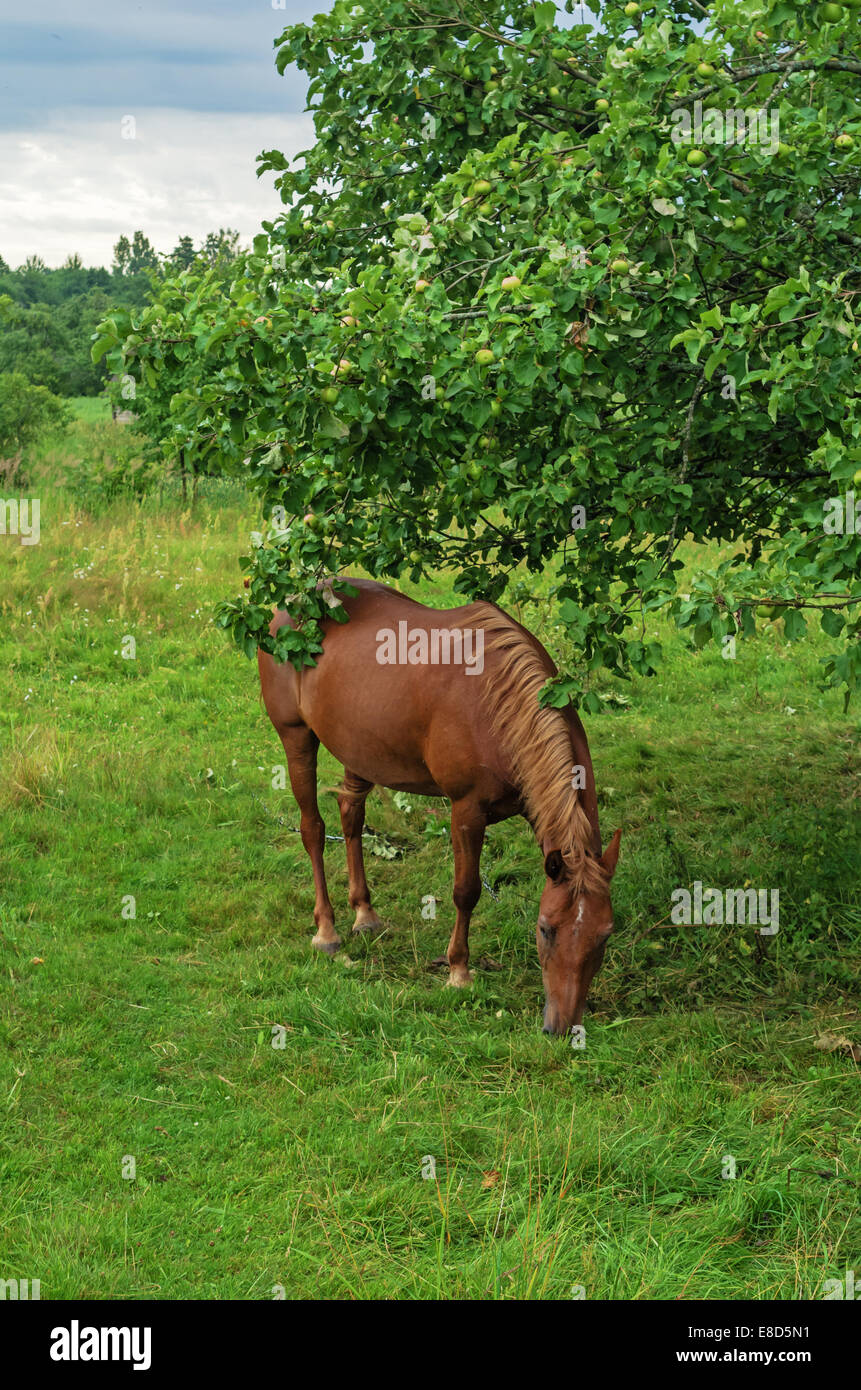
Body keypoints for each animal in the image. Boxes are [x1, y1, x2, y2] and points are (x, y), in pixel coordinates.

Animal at [258, 578, 621, 1035]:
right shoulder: (466, 811)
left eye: (604, 935)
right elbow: (466, 892)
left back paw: (365, 914)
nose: (561, 1026)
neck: (500, 704)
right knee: (313, 830)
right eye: (545, 929)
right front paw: (458, 971)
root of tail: (294, 602)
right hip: (296, 739)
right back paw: (327, 930)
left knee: (350, 815)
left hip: (359, 749)